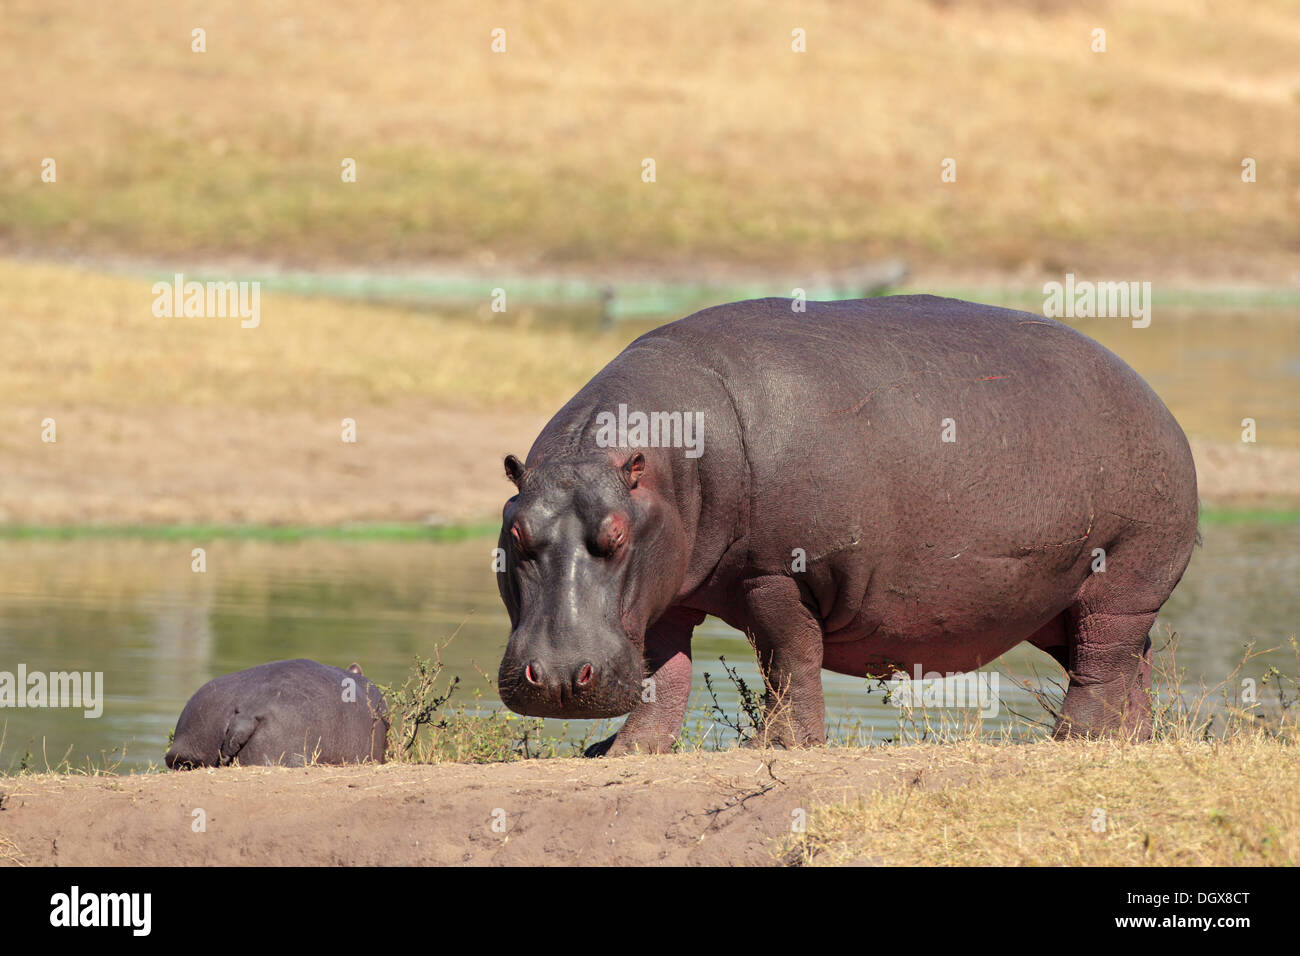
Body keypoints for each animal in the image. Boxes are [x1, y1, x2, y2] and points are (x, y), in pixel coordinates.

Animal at [495, 295, 1199, 755]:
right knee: (1127, 660)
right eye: (516, 535)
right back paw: (1135, 740)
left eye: (615, 535)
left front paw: (780, 746)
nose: (557, 678)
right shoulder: (666, 590)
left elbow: (789, 657)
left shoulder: (776, 572)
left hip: (1122, 573)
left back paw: (1074, 741)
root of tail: (1158, 401)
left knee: (1101, 661)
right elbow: (660, 672)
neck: (664, 464)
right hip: (1057, 603)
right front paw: (625, 752)